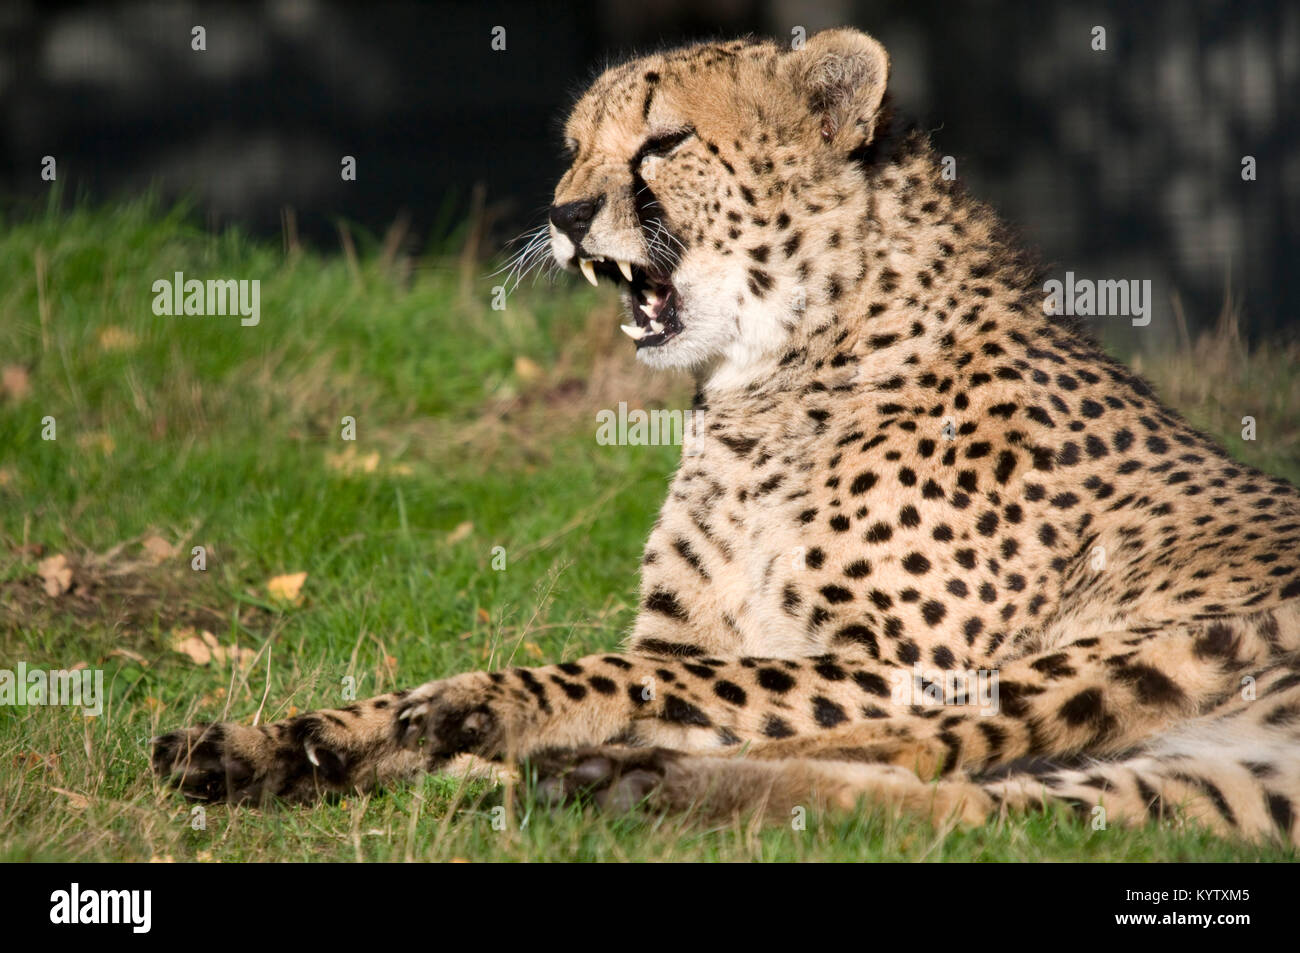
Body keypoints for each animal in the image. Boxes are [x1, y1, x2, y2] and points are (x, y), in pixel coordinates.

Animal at [152, 28, 1300, 846]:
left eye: (665, 142)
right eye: (576, 148)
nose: (565, 215)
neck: (771, 379)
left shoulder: (897, 658)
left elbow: (625, 677)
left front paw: (486, 704)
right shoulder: (690, 633)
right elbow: (620, 676)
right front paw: (276, 740)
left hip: (1166, 643)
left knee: (932, 754)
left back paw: (582, 765)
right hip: (1201, 773)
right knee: (966, 799)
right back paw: (607, 780)